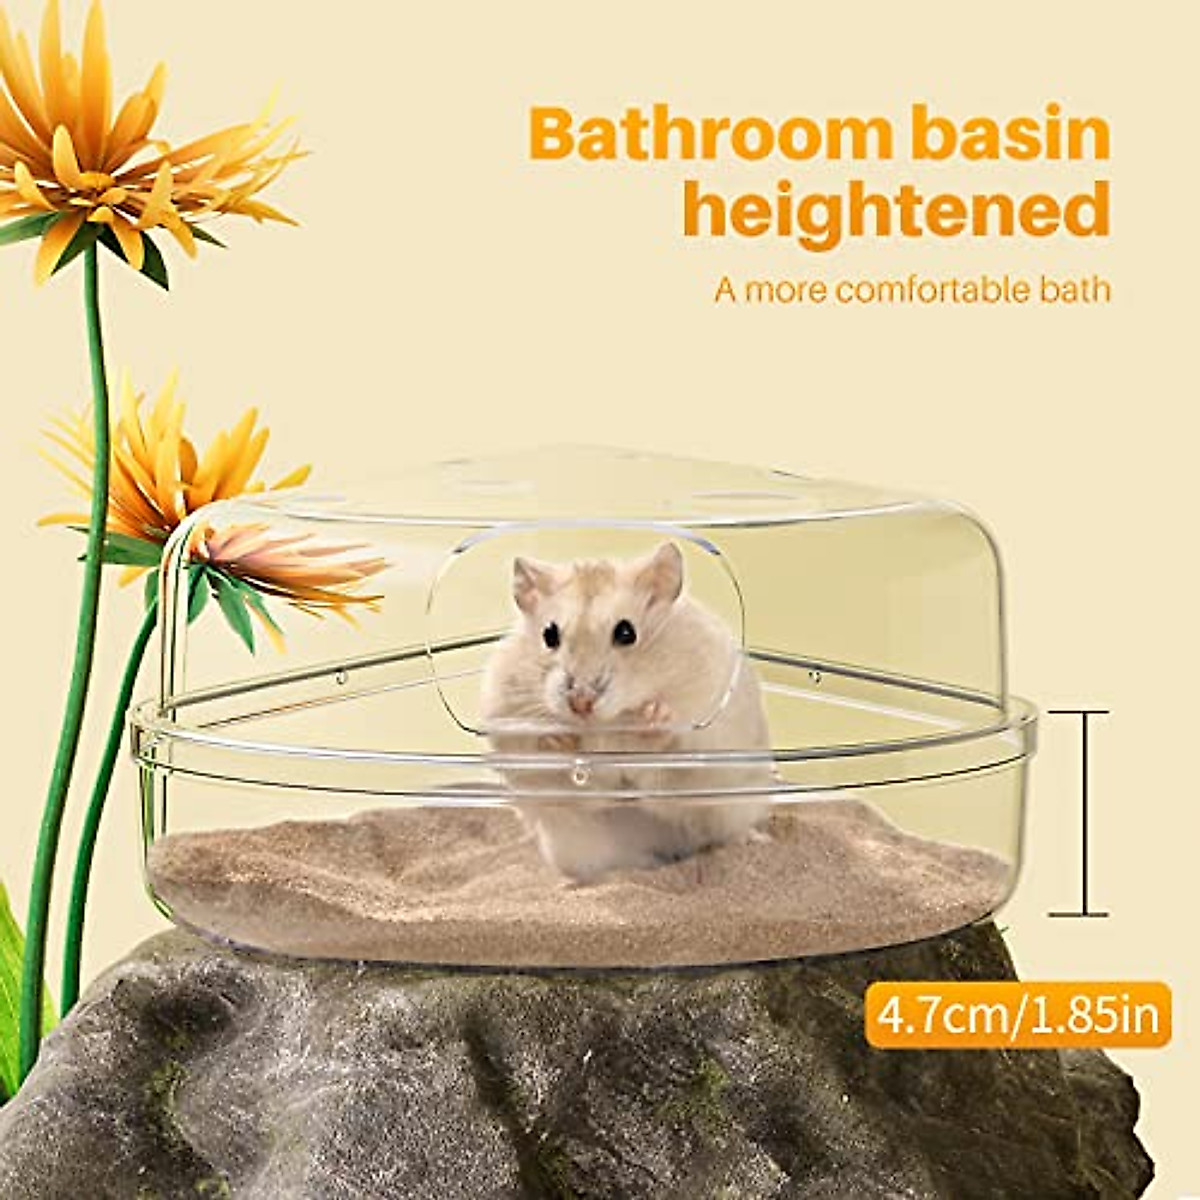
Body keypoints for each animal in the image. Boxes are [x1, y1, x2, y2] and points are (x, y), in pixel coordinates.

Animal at [480, 541, 773, 882]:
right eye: (549, 635)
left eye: (626, 632)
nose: (581, 703)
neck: (604, 724)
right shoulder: (505, 724)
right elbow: (541, 753)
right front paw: (559, 739)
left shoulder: (706, 727)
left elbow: (673, 746)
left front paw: (653, 716)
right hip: (579, 848)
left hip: (734, 807)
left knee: (720, 834)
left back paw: (754, 841)